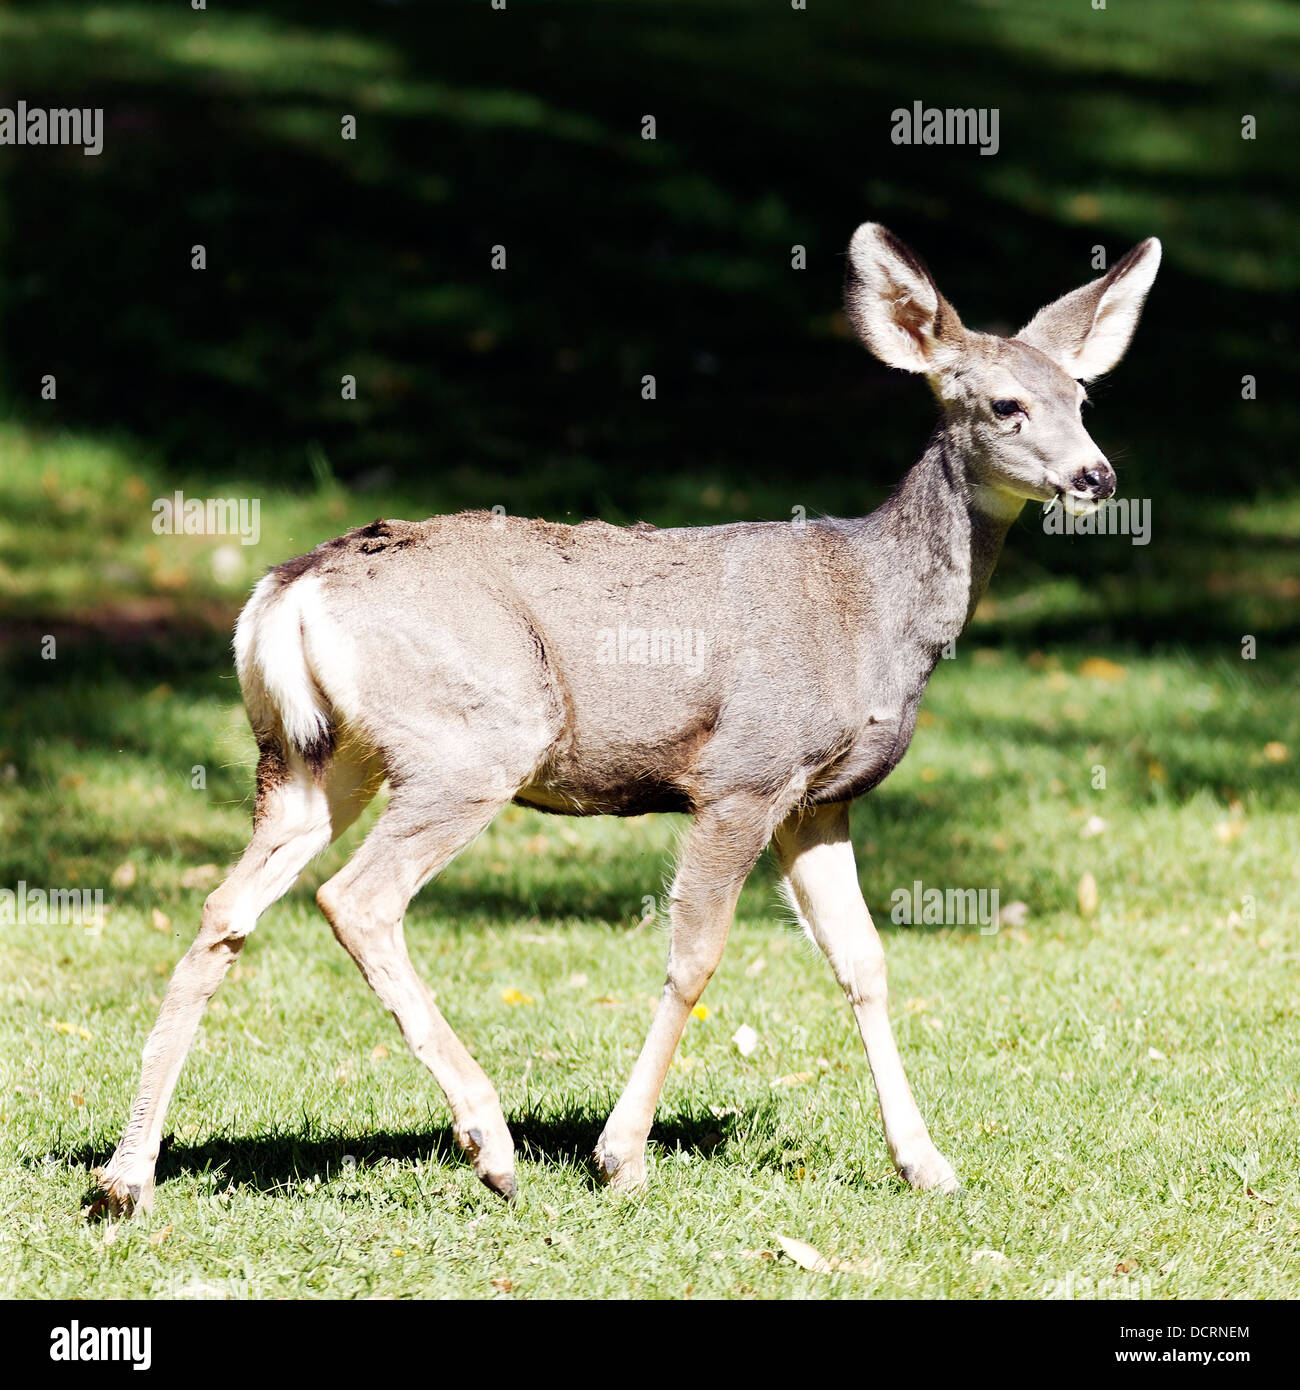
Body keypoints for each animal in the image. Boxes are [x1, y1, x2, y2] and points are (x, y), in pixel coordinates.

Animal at [92, 222, 1161, 1216]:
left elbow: (863, 960)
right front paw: (620, 1156)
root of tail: (284, 593)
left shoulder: (821, 802)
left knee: (226, 908)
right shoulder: (744, 772)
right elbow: (695, 958)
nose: (1099, 477)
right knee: (355, 899)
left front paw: (925, 1164)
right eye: (1005, 404)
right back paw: (491, 1145)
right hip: (475, 739)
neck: (873, 608)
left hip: (316, 758)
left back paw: (126, 1177)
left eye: (1083, 398)